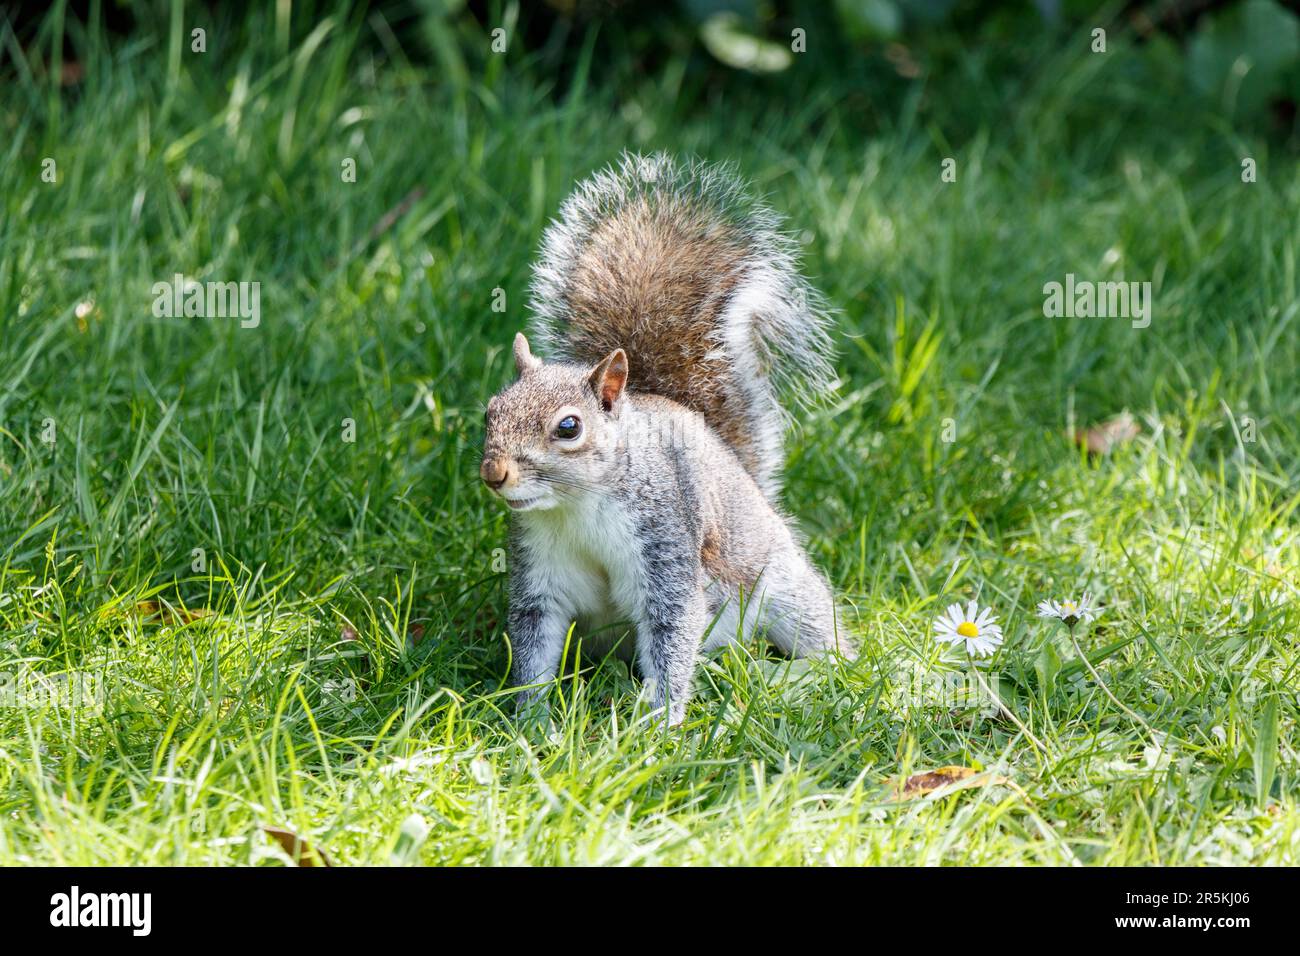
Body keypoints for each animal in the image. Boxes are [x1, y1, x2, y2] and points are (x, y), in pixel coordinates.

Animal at [481, 152, 854, 725]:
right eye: (490, 412)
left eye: (569, 427)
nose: (493, 473)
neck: (576, 507)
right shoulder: (539, 570)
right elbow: (534, 639)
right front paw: (532, 718)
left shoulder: (666, 543)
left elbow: (672, 629)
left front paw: (660, 723)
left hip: (783, 588)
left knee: (820, 632)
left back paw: (819, 672)